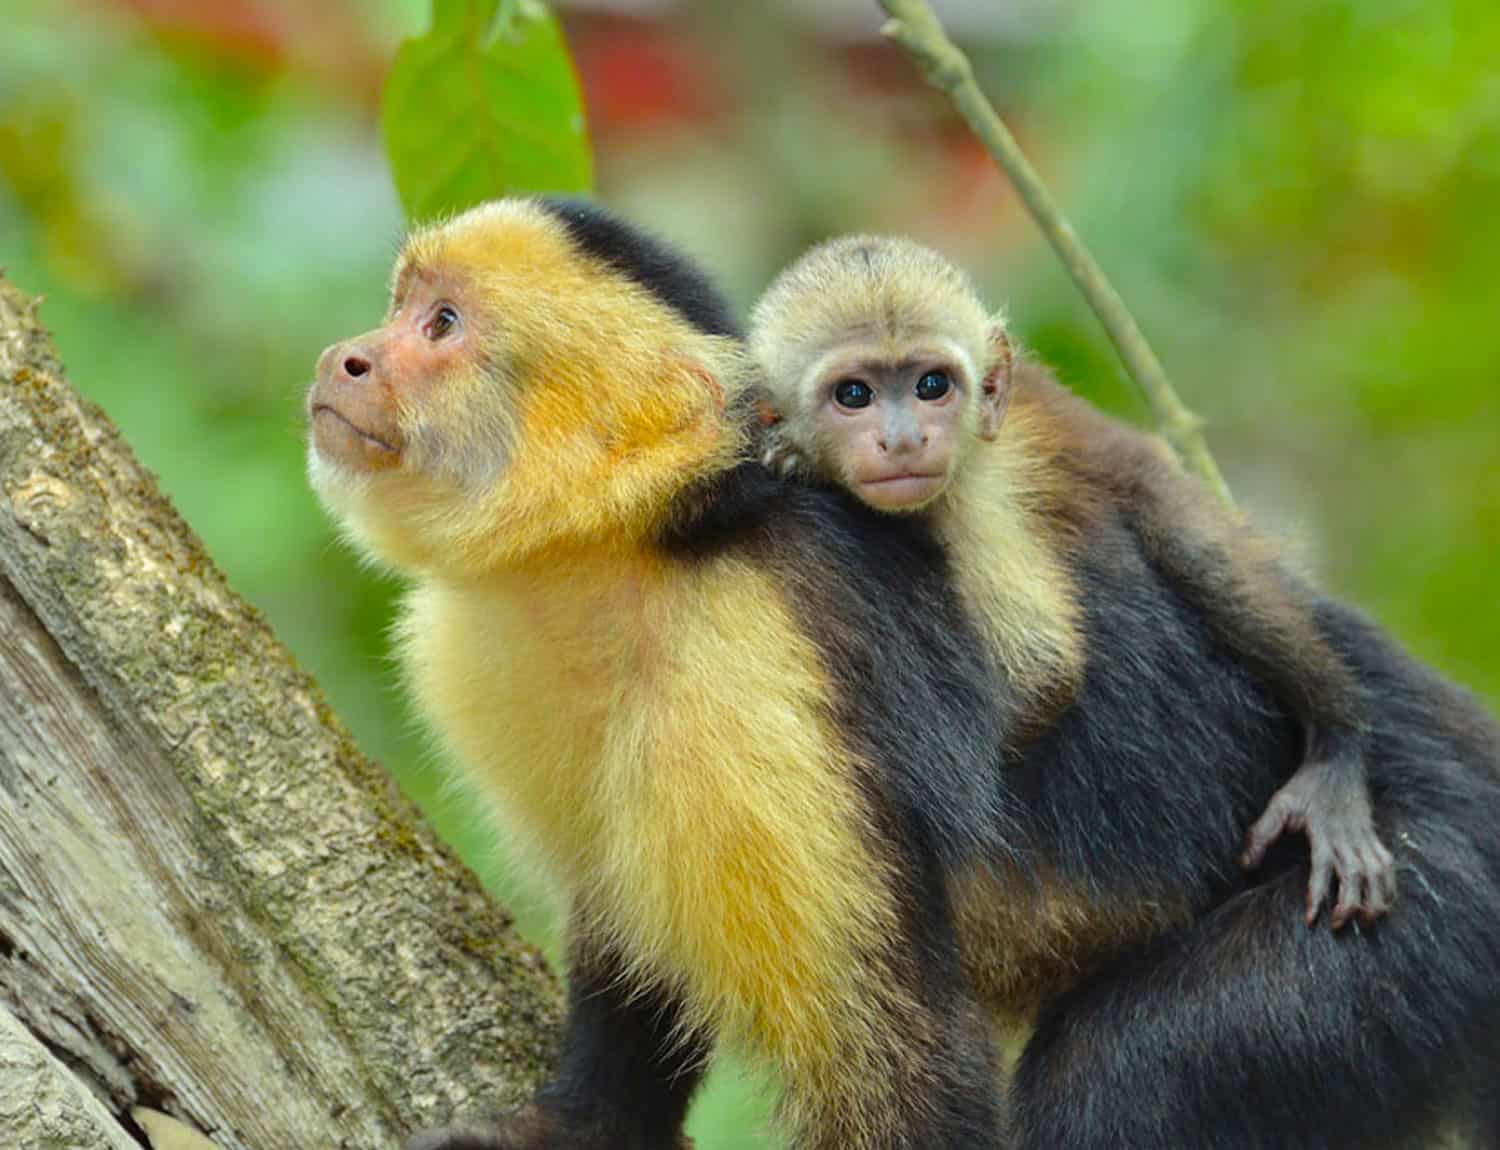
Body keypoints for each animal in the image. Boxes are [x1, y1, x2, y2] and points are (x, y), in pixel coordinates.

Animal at [748, 234, 1395, 930]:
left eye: (931, 385)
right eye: (854, 395)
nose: (904, 439)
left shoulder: (969, 499)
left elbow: (1043, 675)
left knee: (1204, 558)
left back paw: (1336, 743)